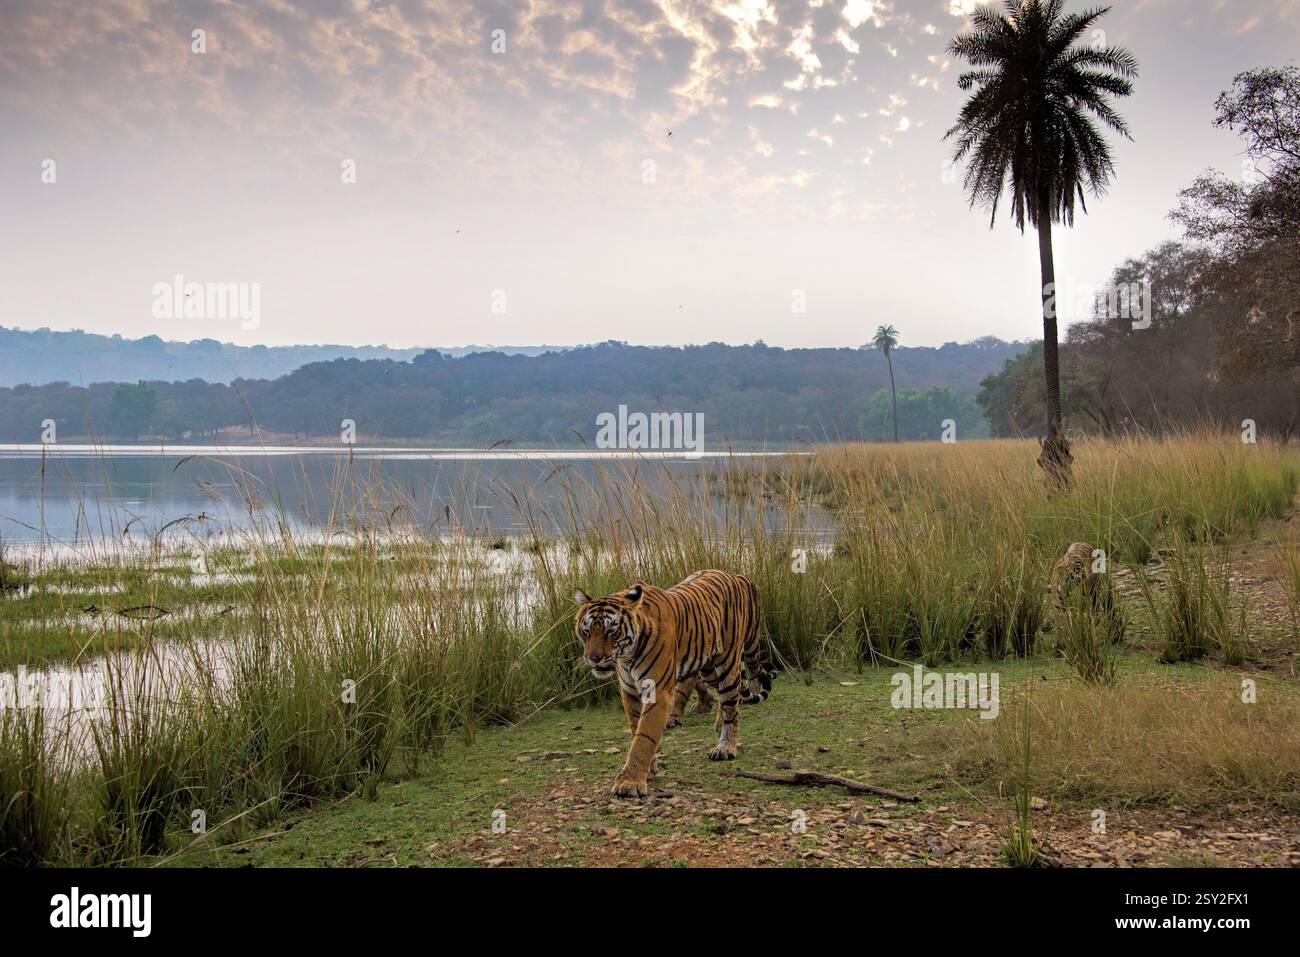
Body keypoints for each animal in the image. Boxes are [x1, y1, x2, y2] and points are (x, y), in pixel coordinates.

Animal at [573, 569, 774, 798]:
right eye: (587, 632)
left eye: (611, 632)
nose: (593, 658)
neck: (627, 656)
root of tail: (734, 575)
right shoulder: (629, 691)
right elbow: (636, 729)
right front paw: (649, 770)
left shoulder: (657, 691)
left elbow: (644, 736)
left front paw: (630, 782)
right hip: (708, 669)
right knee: (727, 697)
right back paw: (717, 723)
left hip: (729, 662)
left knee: (732, 705)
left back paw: (725, 747)